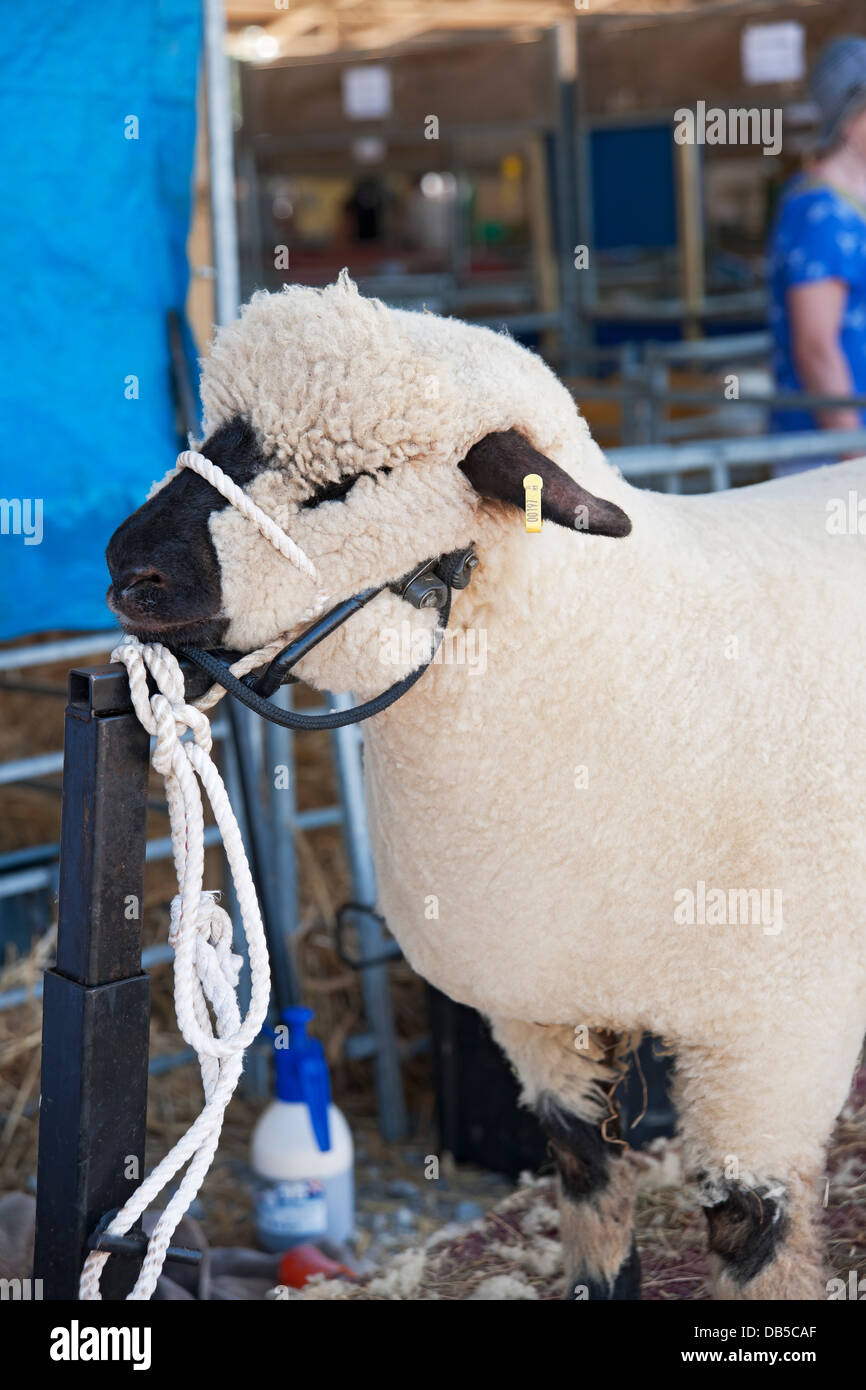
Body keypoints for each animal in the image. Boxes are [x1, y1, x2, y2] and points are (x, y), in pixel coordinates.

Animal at [106, 272, 866, 1301]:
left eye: (343, 485)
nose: (126, 567)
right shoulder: (536, 1015)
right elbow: (588, 1190)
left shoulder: (775, 1038)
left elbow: (754, 1233)